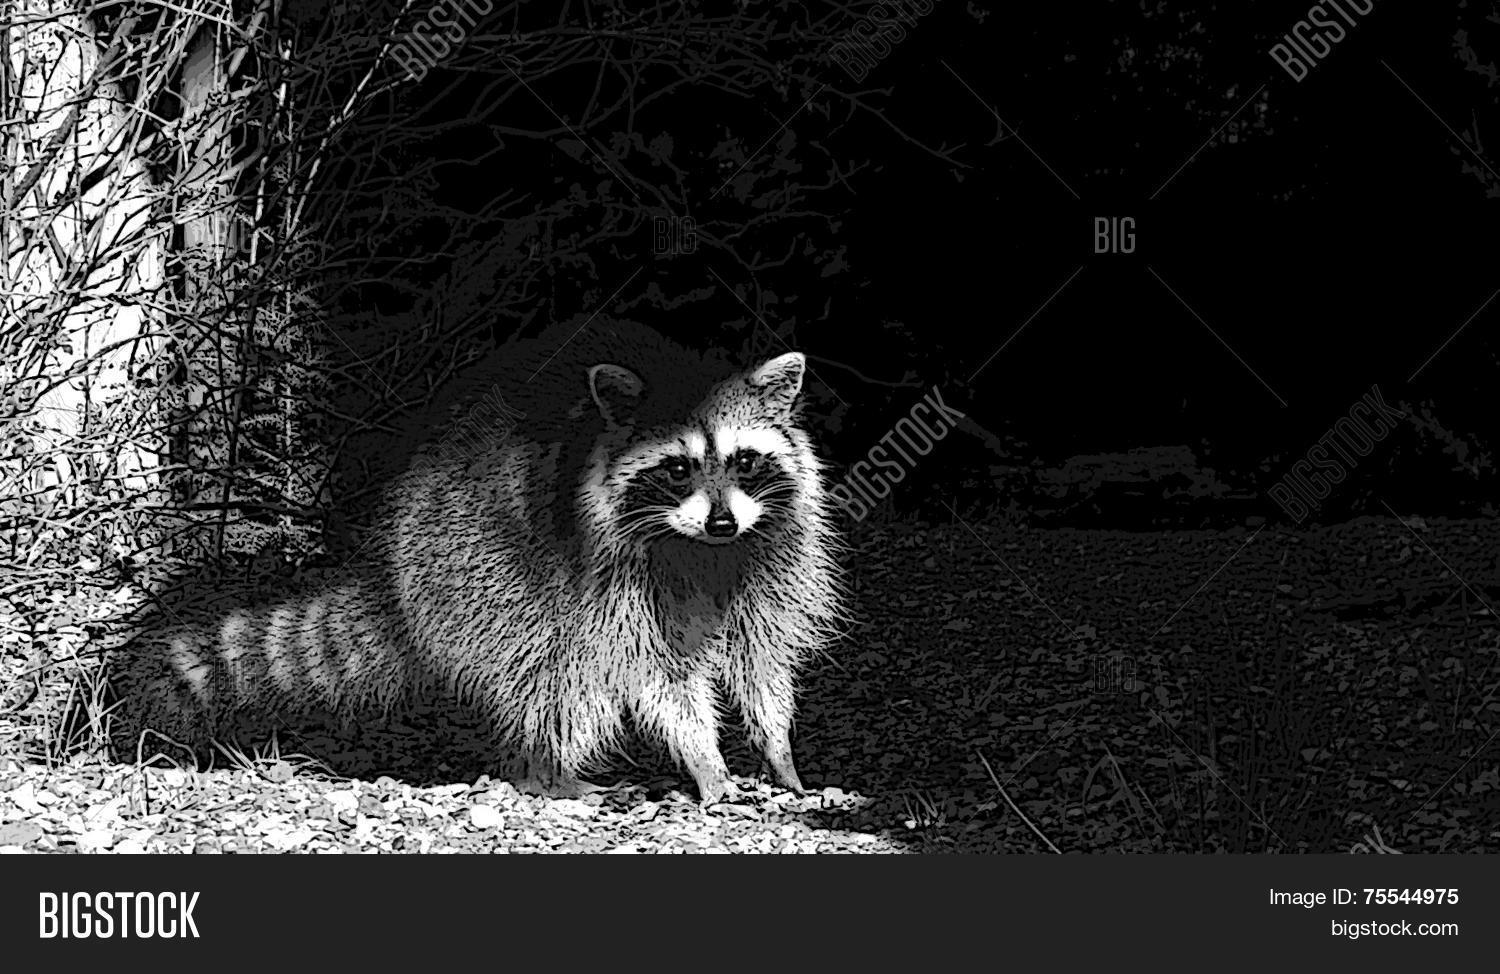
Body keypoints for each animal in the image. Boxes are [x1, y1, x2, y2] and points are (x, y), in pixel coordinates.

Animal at [111, 320, 846, 802]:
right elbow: (656, 674)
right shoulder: (612, 573)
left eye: (744, 460)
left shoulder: (767, 552)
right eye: (678, 467)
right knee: (552, 667)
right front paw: (706, 762)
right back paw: (551, 774)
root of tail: (393, 567)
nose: (721, 520)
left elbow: (762, 656)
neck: (697, 549)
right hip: (479, 559)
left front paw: (778, 749)